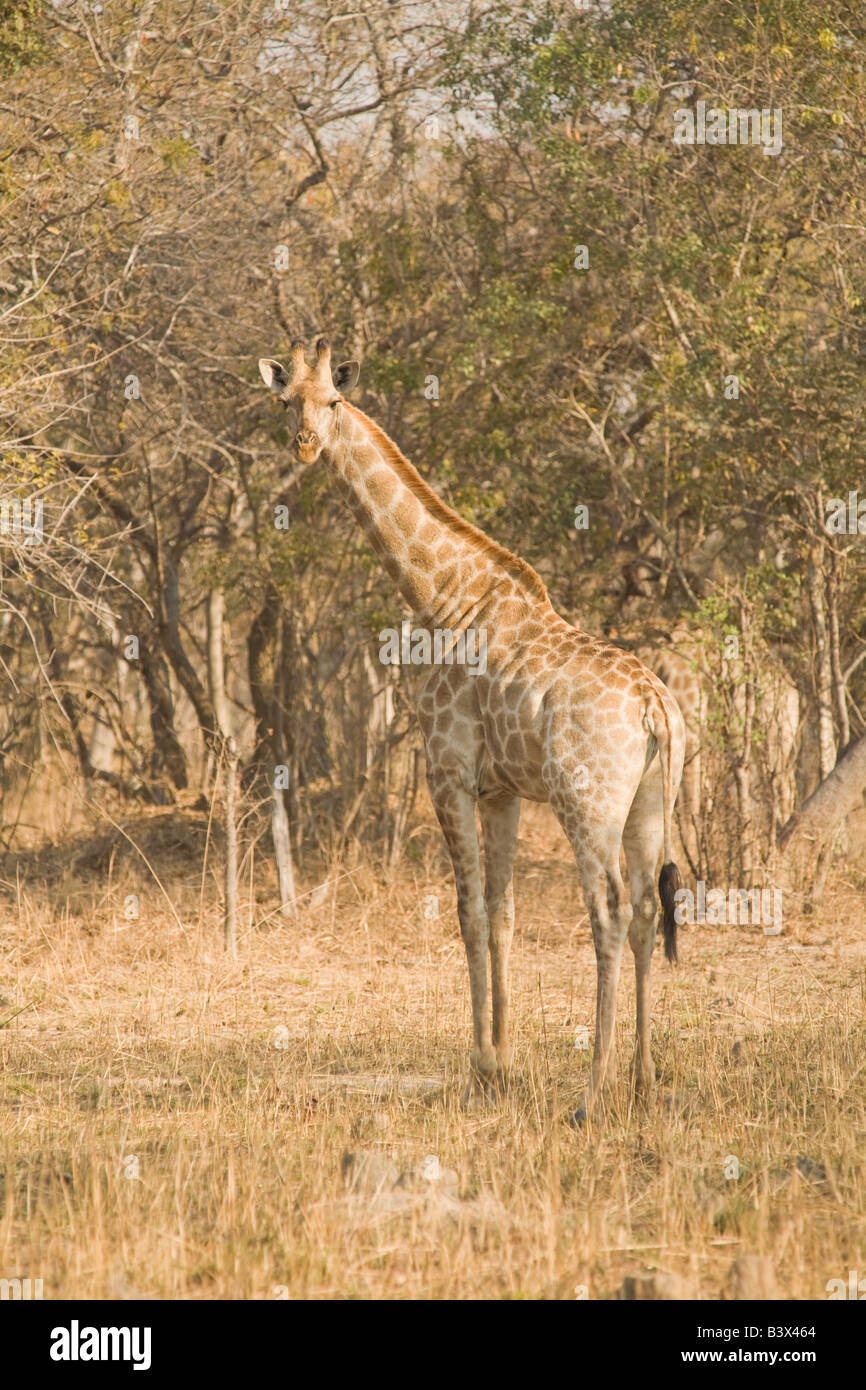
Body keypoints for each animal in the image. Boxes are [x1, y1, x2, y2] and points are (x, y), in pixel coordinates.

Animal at [258, 338, 686, 1120]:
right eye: (285, 401)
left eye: (334, 399)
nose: (304, 445)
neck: (439, 596)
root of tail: (653, 707)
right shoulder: (503, 792)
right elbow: (504, 912)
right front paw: (506, 1064)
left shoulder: (448, 773)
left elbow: (467, 913)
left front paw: (481, 1068)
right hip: (648, 804)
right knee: (646, 910)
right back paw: (642, 1081)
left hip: (586, 803)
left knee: (608, 911)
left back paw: (592, 1094)